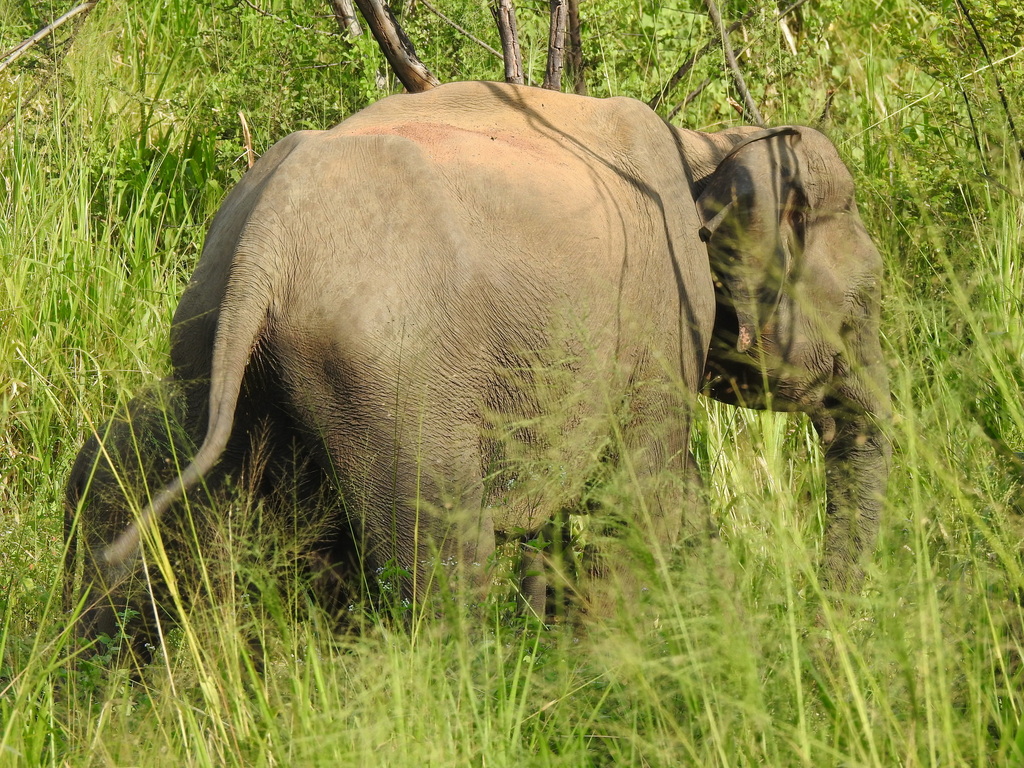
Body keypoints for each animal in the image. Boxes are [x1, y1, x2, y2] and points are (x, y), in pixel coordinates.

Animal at [64, 81, 890, 644]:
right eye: (865, 303)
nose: (820, 625)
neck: (709, 144)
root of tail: (265, 243)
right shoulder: (662, 308)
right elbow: (644, 496)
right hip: (391, 380)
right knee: (440, 565)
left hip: (220, 362)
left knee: (253, 548)